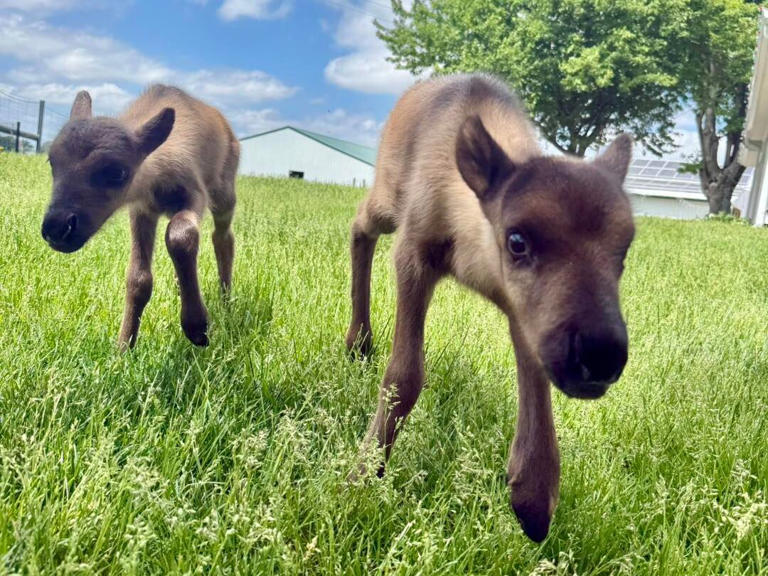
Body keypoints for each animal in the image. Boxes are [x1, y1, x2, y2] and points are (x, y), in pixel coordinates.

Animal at [41, 85, 239, 348]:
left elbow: (180, 236)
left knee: (222, 237)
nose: (57, 227)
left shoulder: (195, 195)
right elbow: (138, 278)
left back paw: (226, 300)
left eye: (117, 172)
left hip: (224, 192)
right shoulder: (142, 211)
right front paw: (123, 346)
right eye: (52, 161)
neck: (156, 180)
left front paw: (197, 326)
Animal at [345, 74, 635, 542]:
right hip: (387, 196)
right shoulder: (413, 253)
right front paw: (361, 475)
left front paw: (533, 496)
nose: (600, 356)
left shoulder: (522, 309)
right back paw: (358, 340)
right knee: (360, 223)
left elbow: (535, 378)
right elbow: (404, 377)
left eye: (623, 250)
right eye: (516, 240)